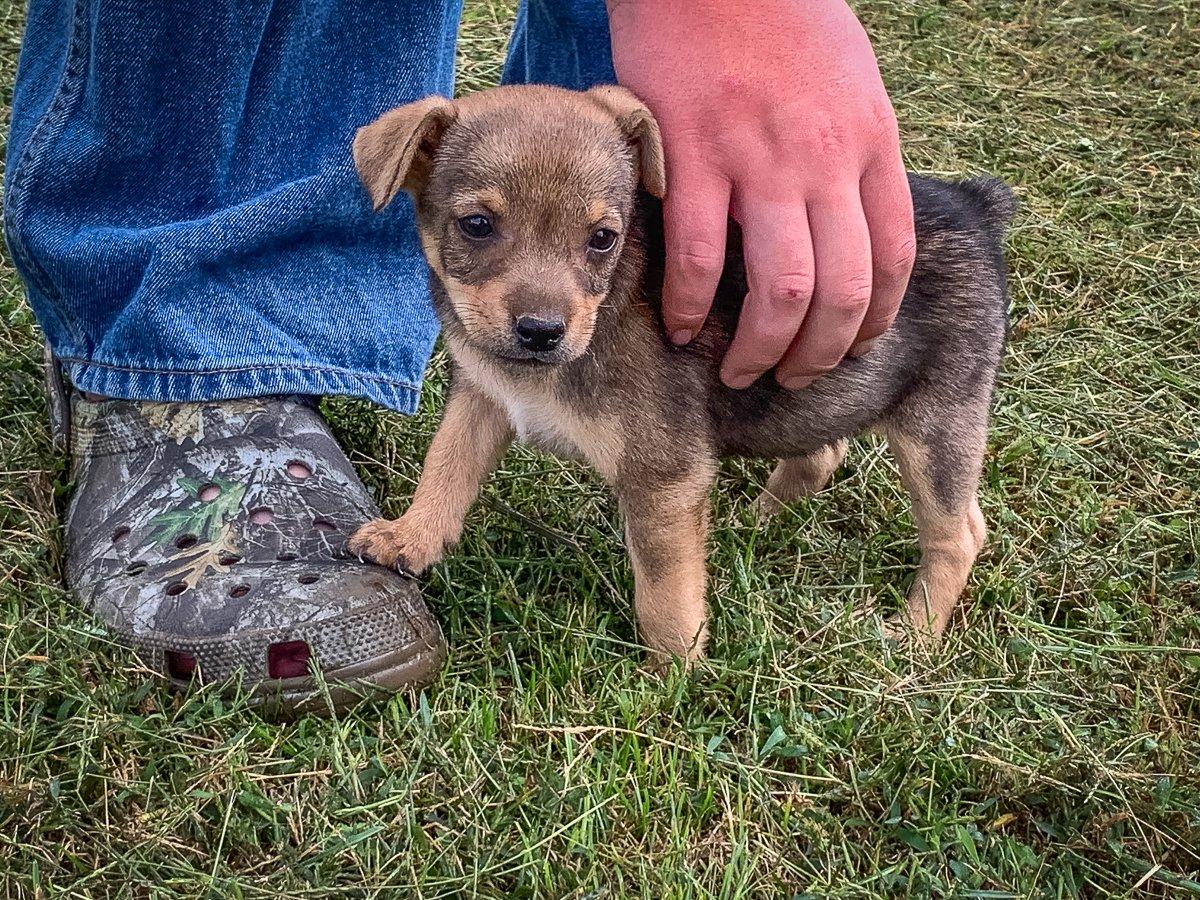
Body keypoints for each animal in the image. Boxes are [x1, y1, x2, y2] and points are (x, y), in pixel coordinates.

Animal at [348, 84, 1012, 667]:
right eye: (477, 226)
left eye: (603, 239)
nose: (541, 332)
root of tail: (976, 208)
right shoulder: (483, 396)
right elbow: (446, 467)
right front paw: (410, 538)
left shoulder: (663, 472)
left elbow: (665, 589)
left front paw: (672, 680)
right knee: (823, 453)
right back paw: (755, 523)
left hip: (937, 427)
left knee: (959, 534)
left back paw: (915, 633)